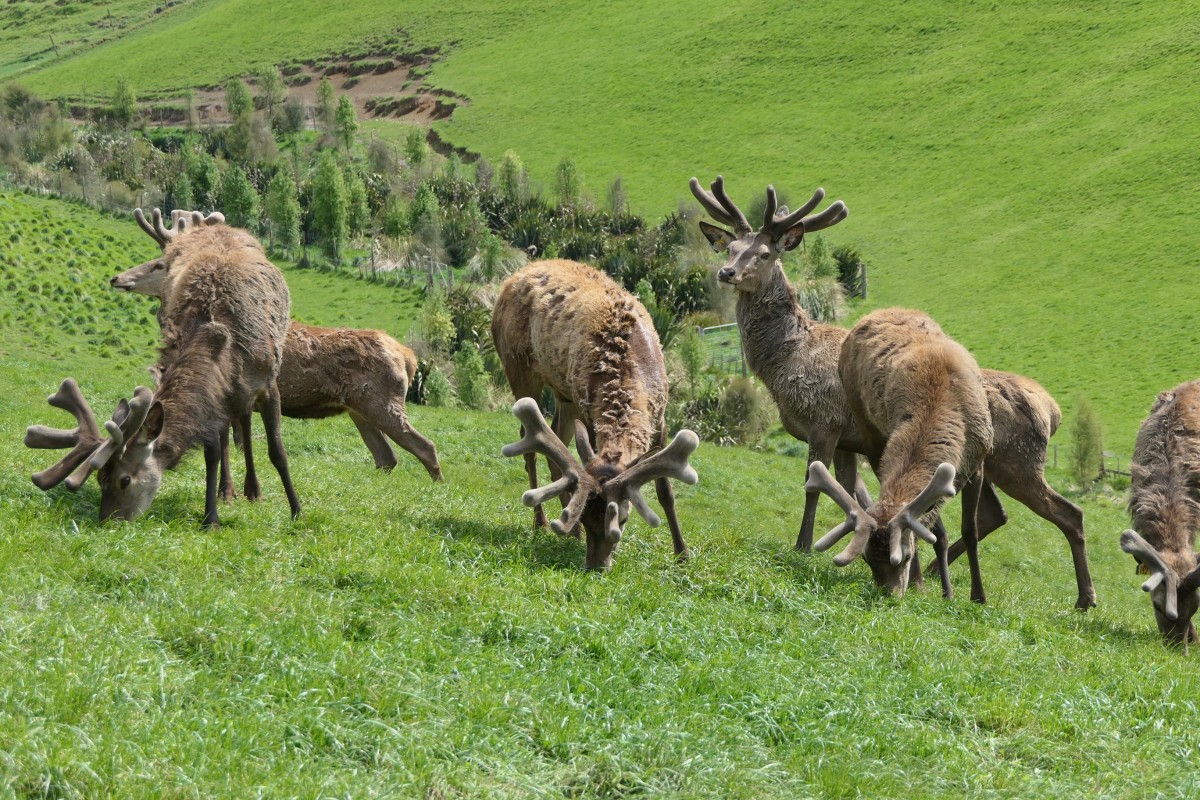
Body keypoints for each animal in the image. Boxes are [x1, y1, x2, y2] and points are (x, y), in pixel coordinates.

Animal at [27, 217, 300, 526]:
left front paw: (297, 511)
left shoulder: (268, 383)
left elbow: (277, 452)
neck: (224, 349)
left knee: (246, 427)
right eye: (100, 479)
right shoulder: (215, 399)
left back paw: (253, 490)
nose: (109, 520)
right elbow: (212, 453)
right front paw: (211, 517)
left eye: (124, 480)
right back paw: (228, 490)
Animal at [112, 208, 443, 488]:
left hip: (384, 401)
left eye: (159, 264)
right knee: (386, 456)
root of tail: (409, 357)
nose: (117, 278)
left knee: (425, 446)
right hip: (358, 409)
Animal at [492, 259, 700, 571]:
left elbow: (665, 491)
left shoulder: (661, 417)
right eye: (589, 518)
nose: (596, 566)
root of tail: (515, 275)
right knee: (528, 443)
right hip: (517, 366)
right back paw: (542, 522)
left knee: (557, 441)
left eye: (623, 519)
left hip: (564, 393)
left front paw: (682, 552)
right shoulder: (589, 413)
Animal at [691, 176, 1095, 609]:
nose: (727, 272)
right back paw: (941, 574)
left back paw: (1084, 598)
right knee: (996, 514)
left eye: (764, 253)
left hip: (1020, 460)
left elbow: (812, 487)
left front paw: (801, 545)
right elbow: (855, 495)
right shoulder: (851, 441)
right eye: (731, 247)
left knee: (1067, 512)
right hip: (994, 464)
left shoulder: (824, 421)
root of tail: (1052, 409)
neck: (785, 362)